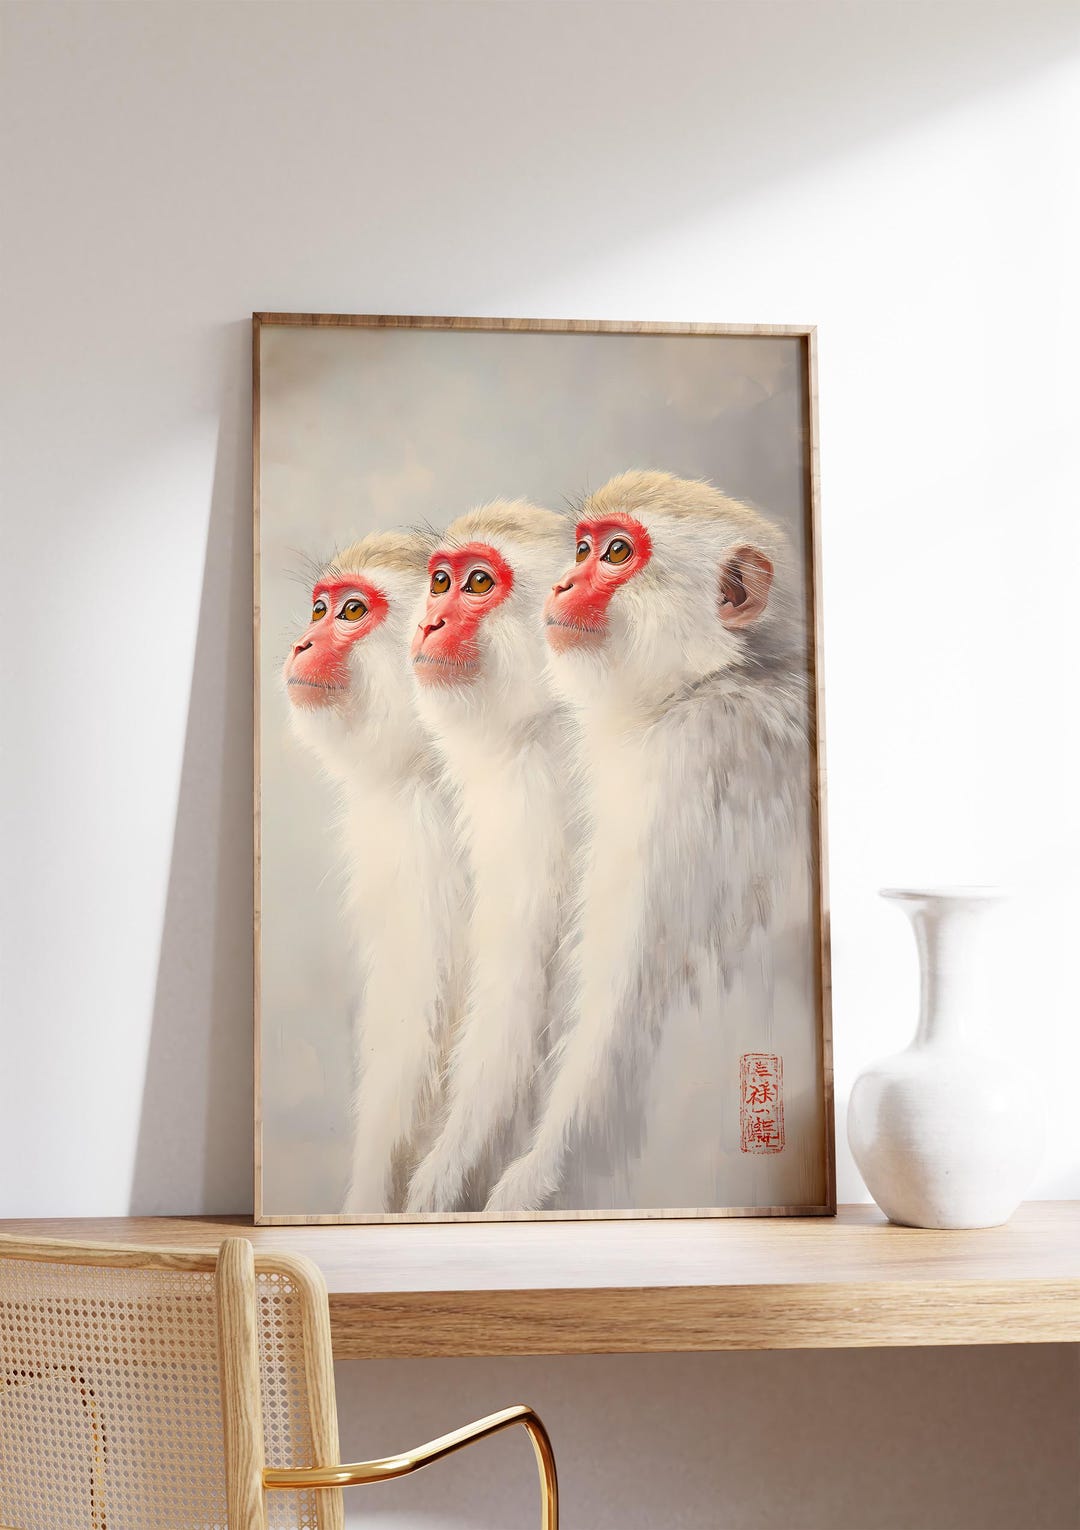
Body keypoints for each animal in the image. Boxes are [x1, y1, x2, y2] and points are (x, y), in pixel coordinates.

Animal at [485, 470, 817, 1214]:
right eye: (581, 548)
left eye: (615, 553)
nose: (561, 584)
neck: (717, 679)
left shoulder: (681, 774)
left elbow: (627, 1008)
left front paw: (536, 1176)